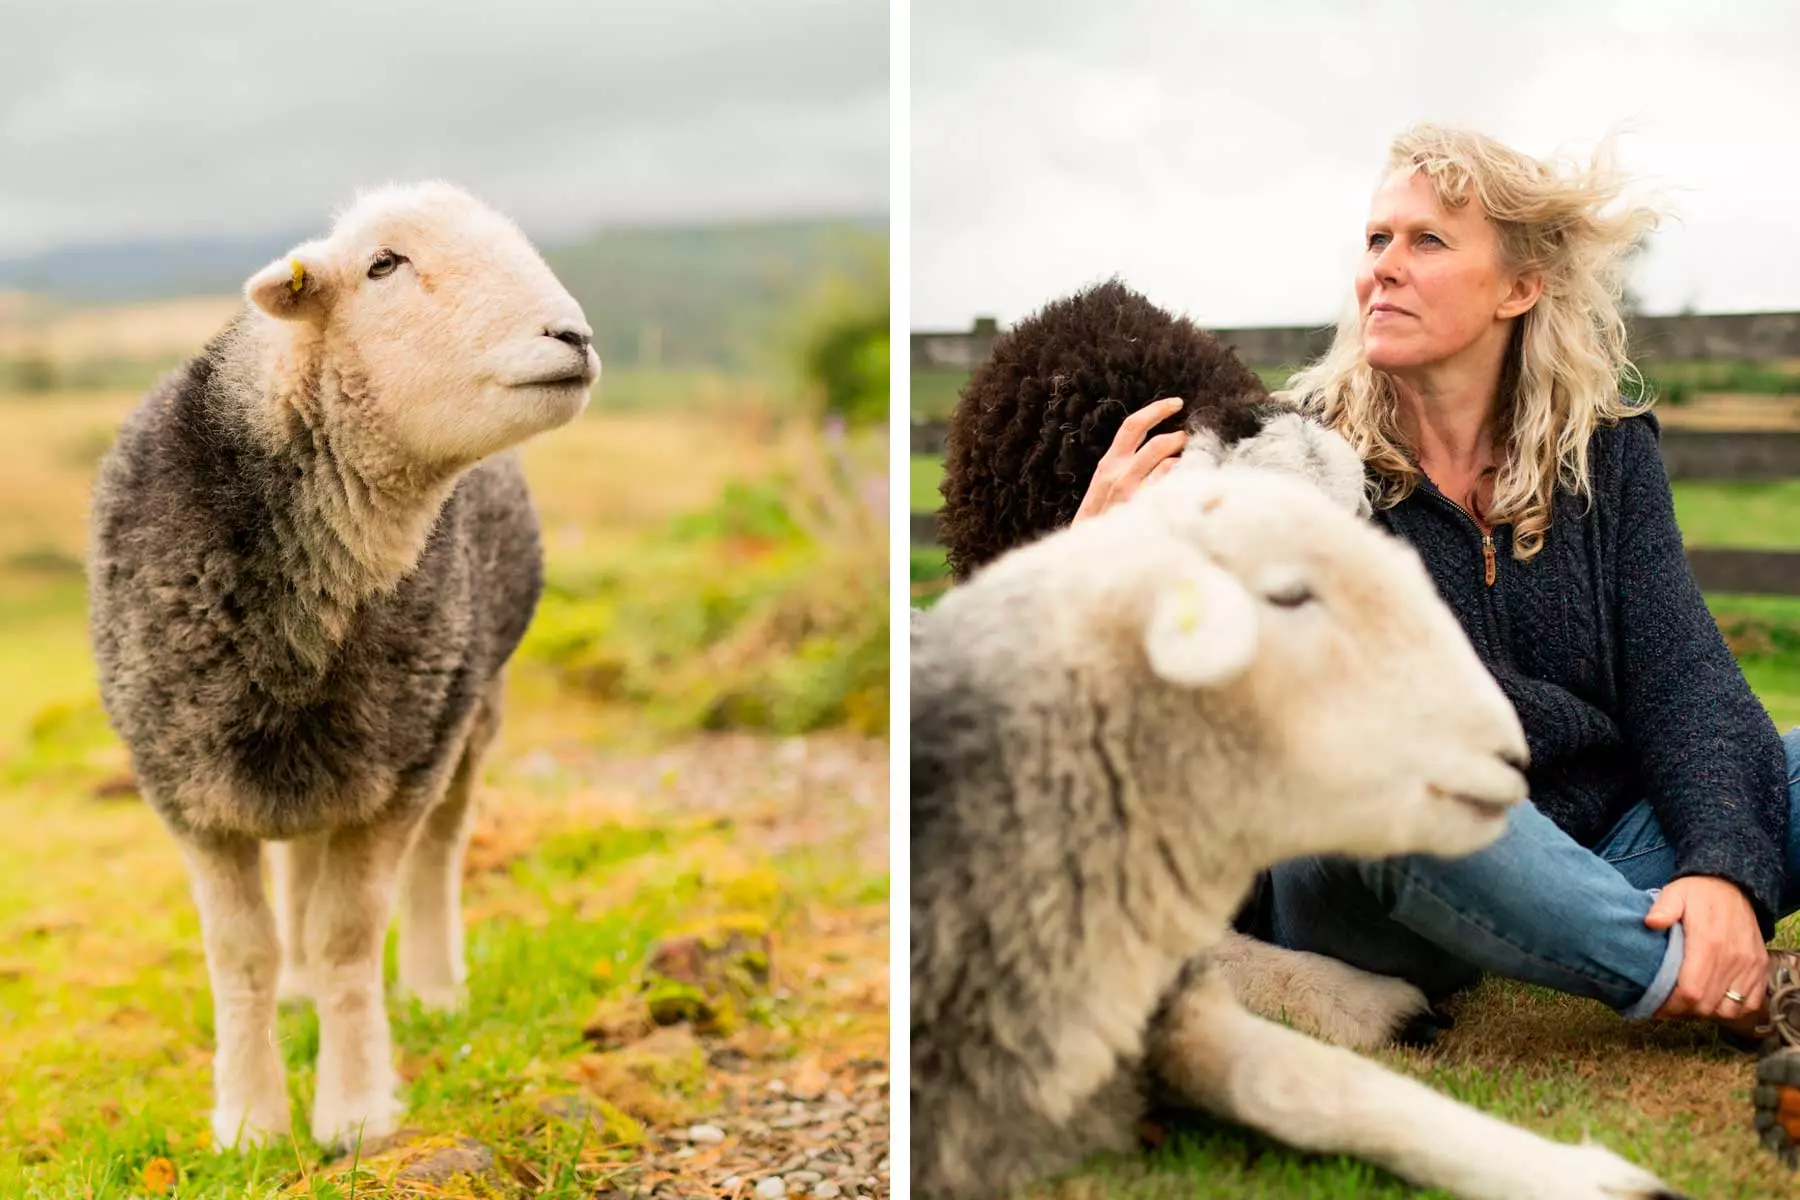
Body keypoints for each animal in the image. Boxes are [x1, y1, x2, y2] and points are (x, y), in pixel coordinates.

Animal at [89, 180, 597, 1151]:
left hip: (464, 714)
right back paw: (296, 999)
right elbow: (240, 952)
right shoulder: (183, 788)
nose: (574, 337)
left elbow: (349, 938)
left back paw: (435, 991)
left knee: (440, 852)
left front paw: (354, 1113)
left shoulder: (396, 774)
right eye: (383, 265)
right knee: (297, 863)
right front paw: (249, 1121)